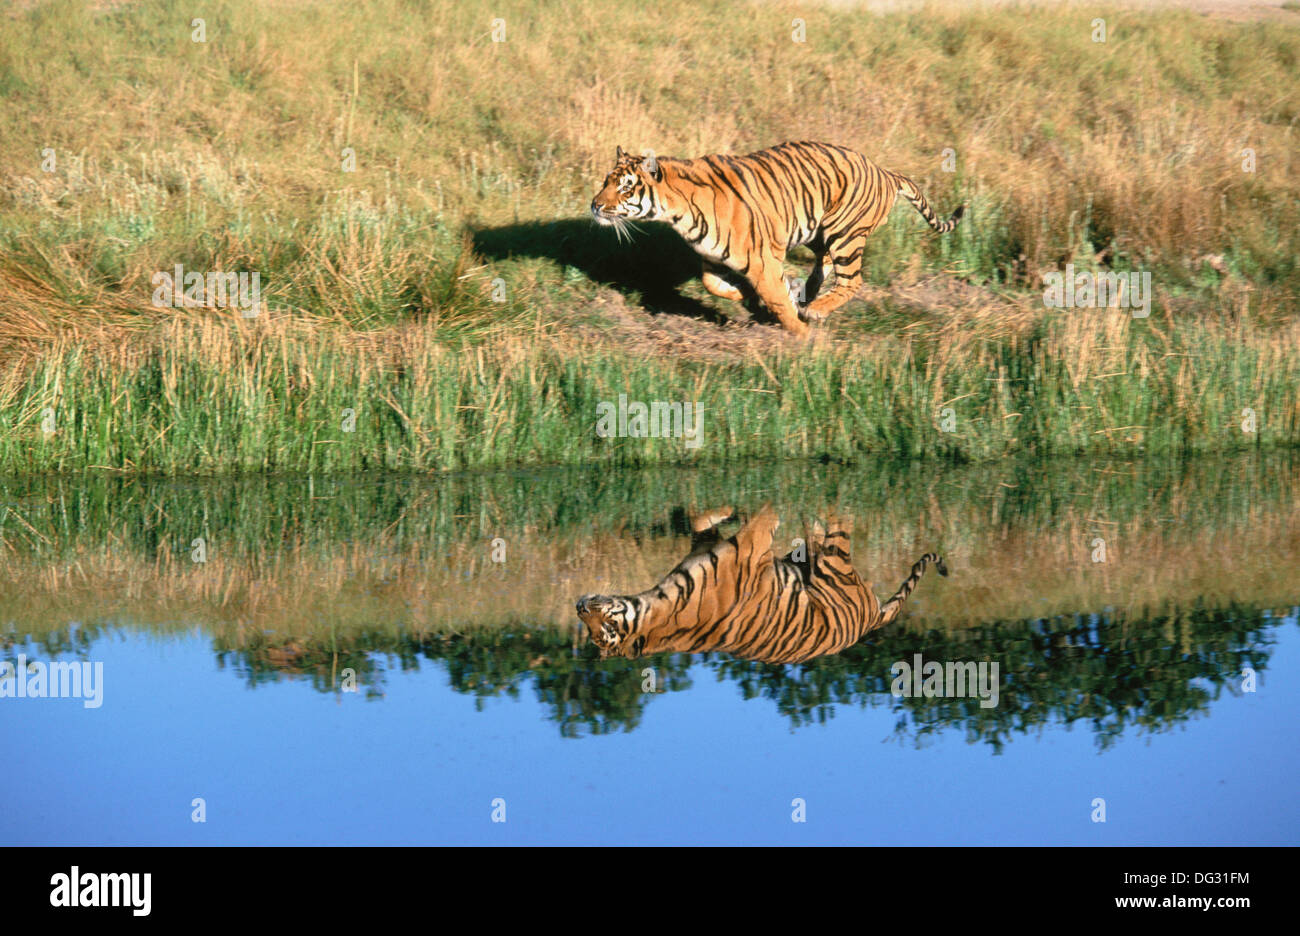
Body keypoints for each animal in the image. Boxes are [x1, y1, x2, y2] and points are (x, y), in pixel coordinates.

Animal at [575, 505, 947, 663]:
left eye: (603, 626)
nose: (579, 606)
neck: (658, 613)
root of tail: (871, 621)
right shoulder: (749, 547)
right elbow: (766, 514)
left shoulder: (705, 542)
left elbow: (700, 516)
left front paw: (730, 507)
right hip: (834, 564)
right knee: (840, 521)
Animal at [589, 141, 964, 336]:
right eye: (606, 181)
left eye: (625, 187)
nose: (594, 205)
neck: (677, 214)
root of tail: (885, 172)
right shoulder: (712, 257)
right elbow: (715, 285)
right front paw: (748, 296)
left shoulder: (761, 260)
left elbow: (776, 298)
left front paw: (801, 333)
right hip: (818, 231)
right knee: (823, 264)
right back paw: (807, 293)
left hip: (846, 234)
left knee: (852, 281)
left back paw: (815, 309)